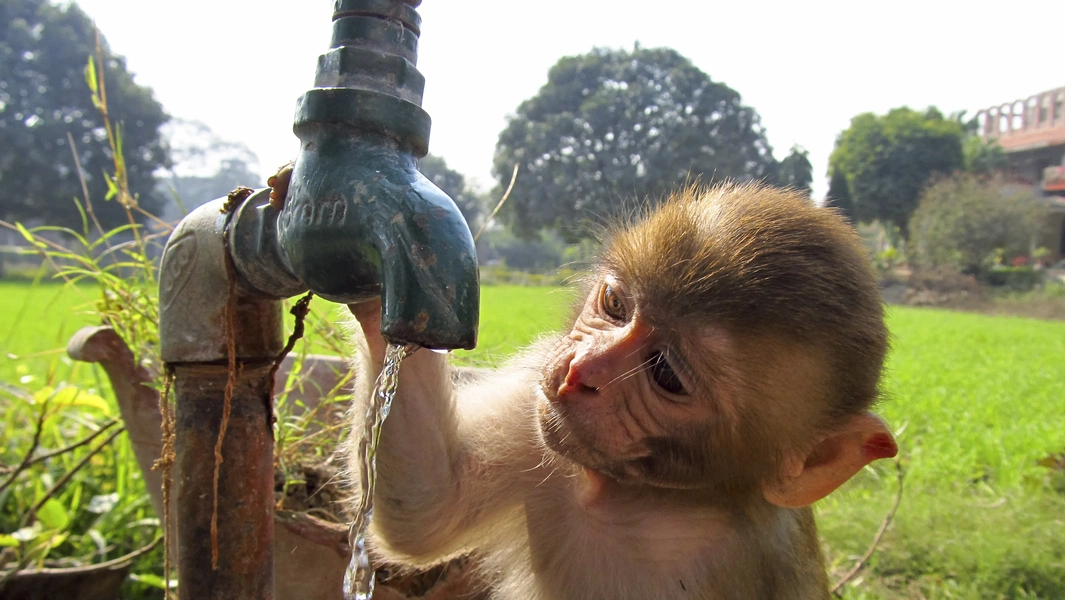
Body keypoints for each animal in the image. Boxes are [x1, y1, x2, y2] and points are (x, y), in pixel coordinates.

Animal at [346, 182, 898, 600]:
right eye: (615, 304)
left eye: (667, 374)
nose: (580, 369)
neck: (641, 498)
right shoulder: (535, 408)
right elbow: (429, 507)